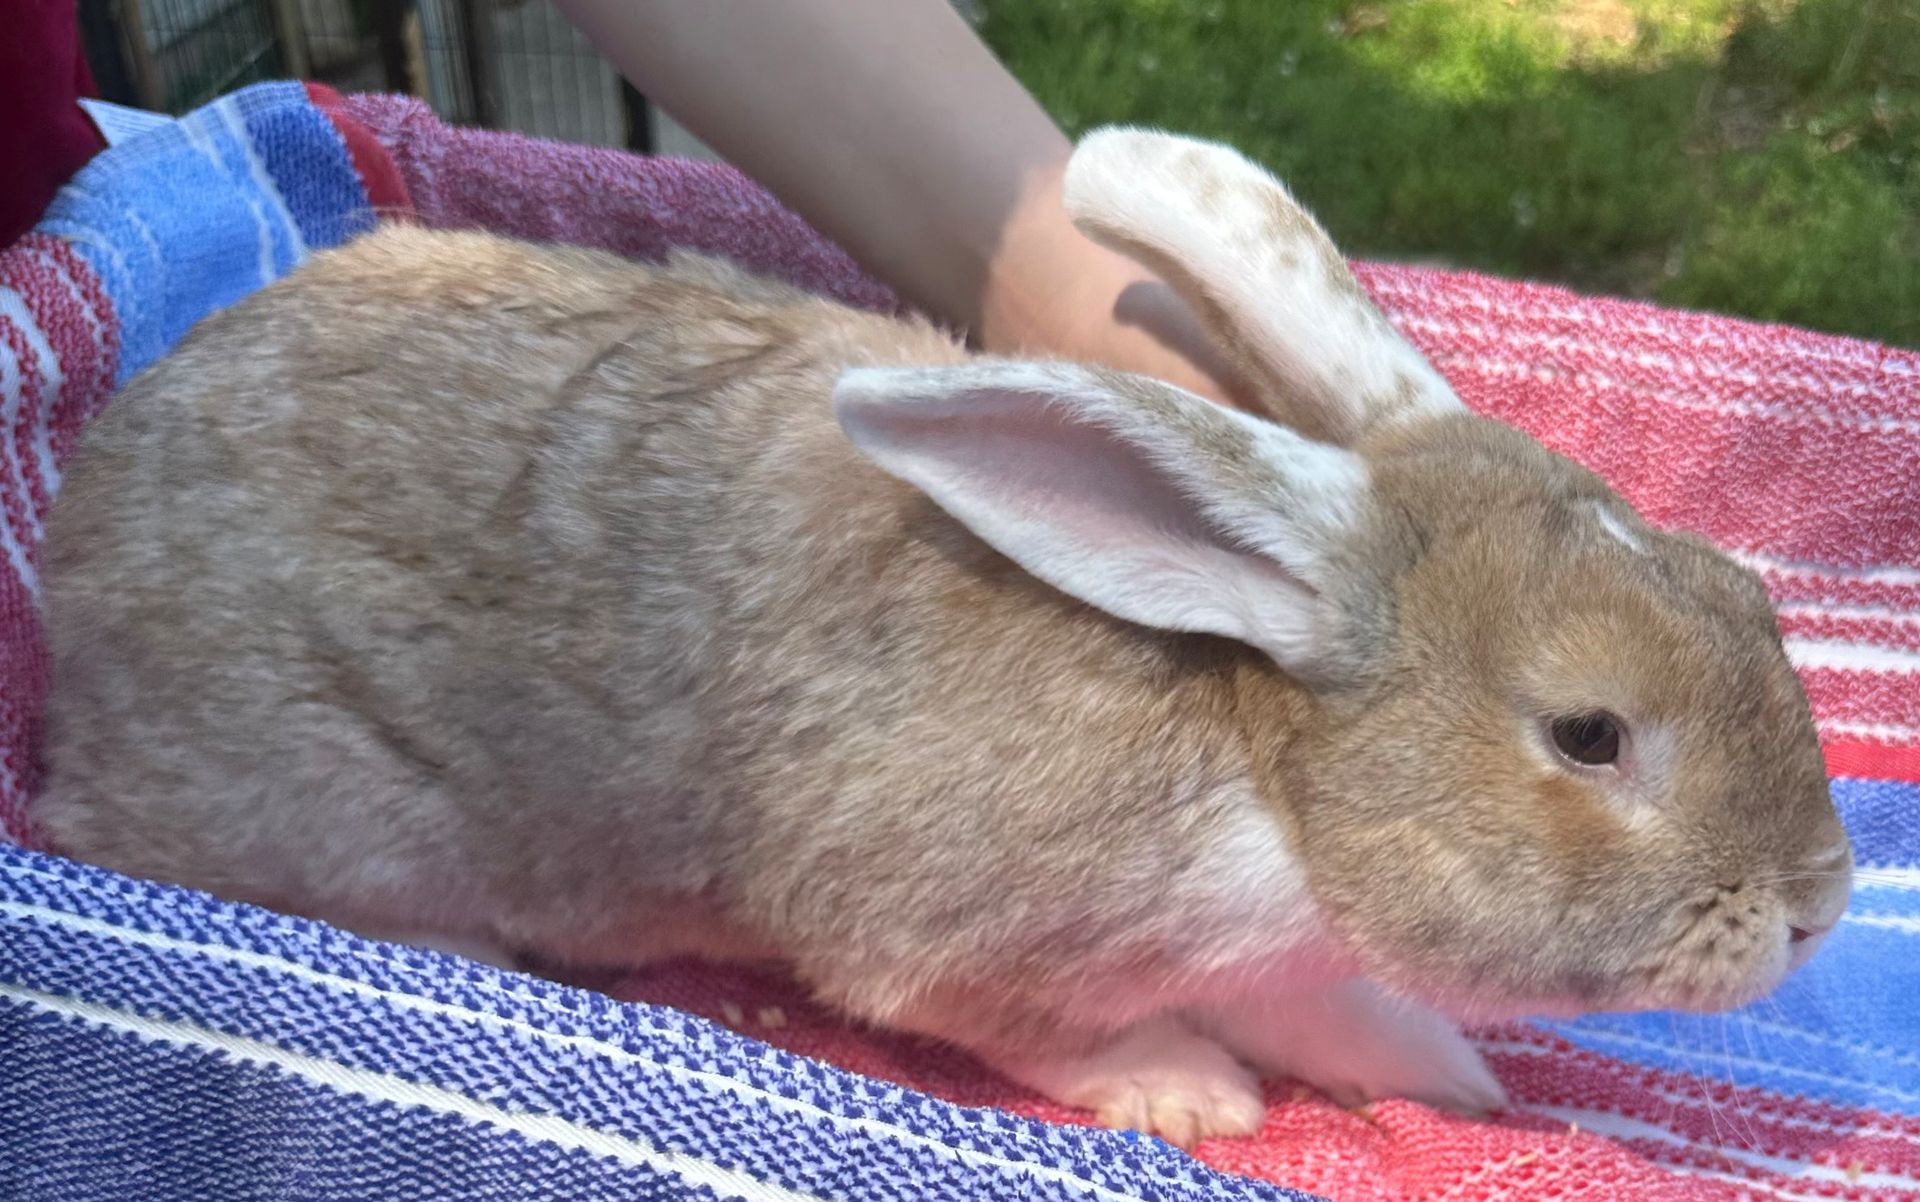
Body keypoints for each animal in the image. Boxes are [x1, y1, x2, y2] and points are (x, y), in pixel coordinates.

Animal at [33, 127, 1853, 1149]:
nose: (1821, 907)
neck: (1266, 764)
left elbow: (1329, 1006)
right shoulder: (942, 934)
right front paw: (1190, 1091)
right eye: (1588, 732)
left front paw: (1434, 1068)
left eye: (1752, 601)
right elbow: (1051, 1027)